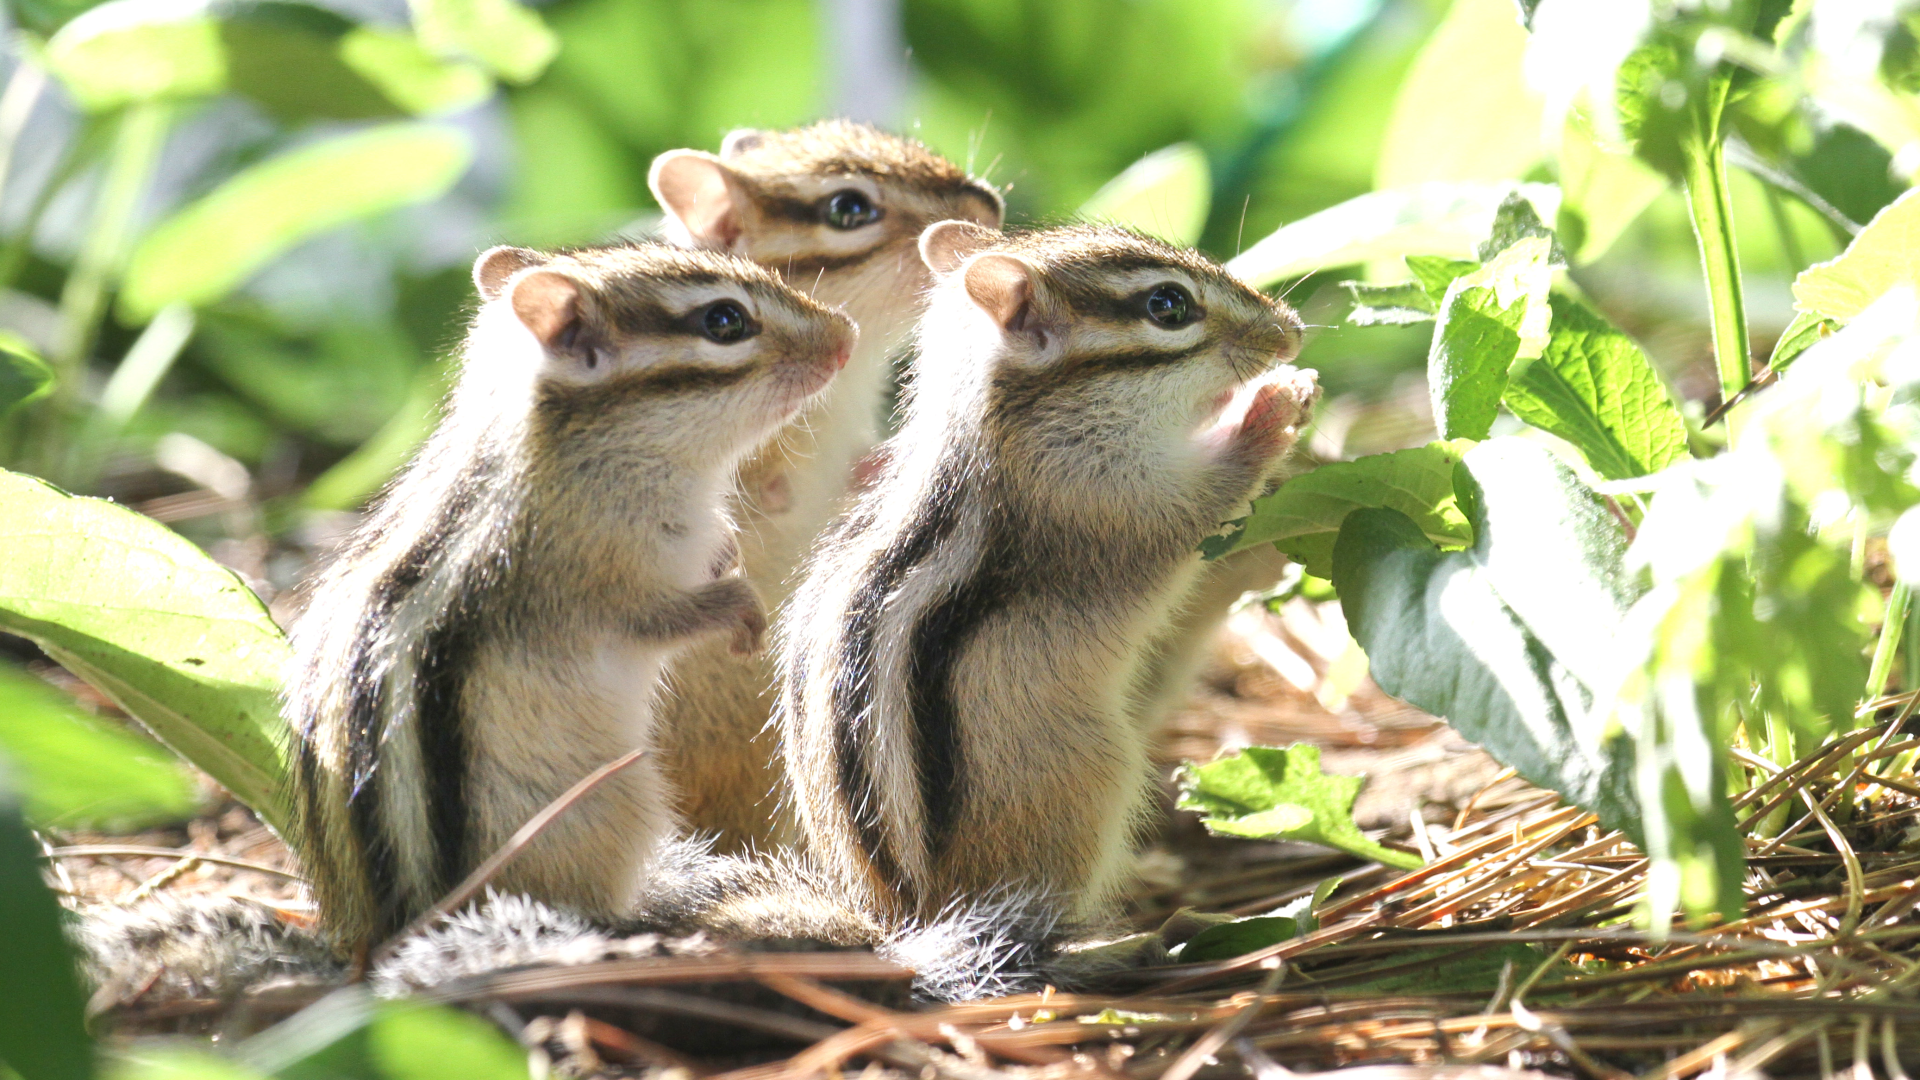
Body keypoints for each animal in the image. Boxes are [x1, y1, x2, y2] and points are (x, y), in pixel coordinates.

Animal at [281, 241, 856, 951]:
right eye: (724, 322)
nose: (845, 335)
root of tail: (391, 928)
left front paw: (725, 551)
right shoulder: (600, 581)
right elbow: (663, 619)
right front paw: (742, 610)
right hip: (623, 804)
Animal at [778, 222, 1319, 927]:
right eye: (1168, 306)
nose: (1292, 333)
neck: (1011, 421)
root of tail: (906, 915)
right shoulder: (1100, 497)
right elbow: (1201, 503)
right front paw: (1275, 402)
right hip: (1094, 772)